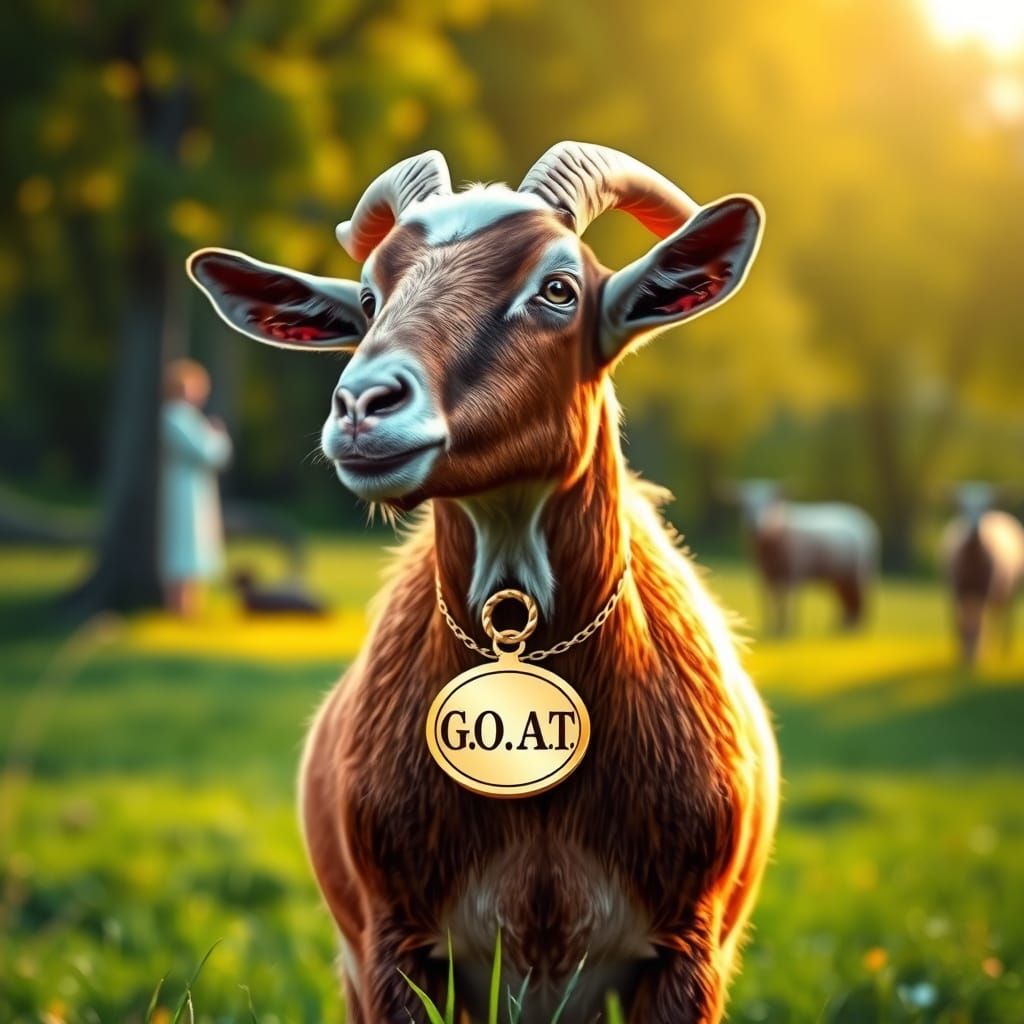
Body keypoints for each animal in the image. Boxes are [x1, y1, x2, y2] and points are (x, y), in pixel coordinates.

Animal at [734, 480, 879, 635]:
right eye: (745, 504)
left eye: (769, 502)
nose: (754, 524)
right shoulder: (764, 575)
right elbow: (768, 603)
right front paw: (772, 628)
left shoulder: (794, 572)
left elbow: (788, 601)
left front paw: (787, 629)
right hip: (841, 576)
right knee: (848, 600)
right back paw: (843, 626)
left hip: (859, 573)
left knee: (863, 600)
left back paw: (857, 628)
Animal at [941, 483, 1024, 664]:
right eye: (962, 507)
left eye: (985, 507)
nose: (974, 529)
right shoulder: (957, 588)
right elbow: (961, 621)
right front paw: (964, 654)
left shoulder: (986, 589)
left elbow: (980, 621)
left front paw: (977, 655)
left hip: (1011, 589)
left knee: (1003, 617)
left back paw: (1000, 649)